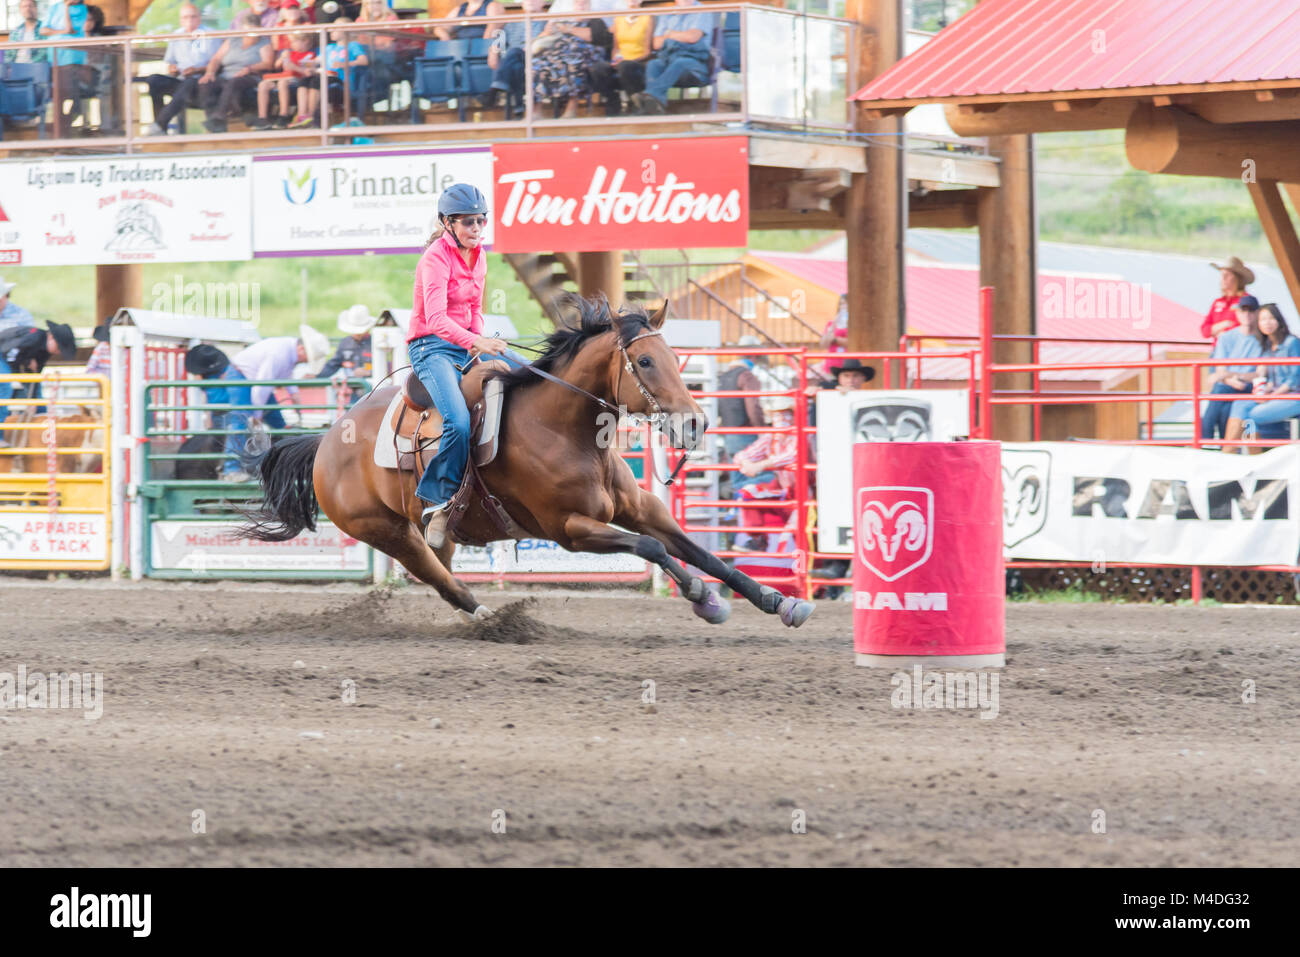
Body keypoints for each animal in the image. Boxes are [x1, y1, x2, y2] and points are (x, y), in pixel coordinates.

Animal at [239, 295, 815, 629]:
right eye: (647, 361)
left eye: (677, 359)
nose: (696, 425)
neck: (567, 433)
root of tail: (326, 441)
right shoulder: (570, 529)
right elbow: (654, 549)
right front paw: (701, 598)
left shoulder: (643, 510)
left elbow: (703, 553)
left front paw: (780, 603)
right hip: (385, 531)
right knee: (432, 576)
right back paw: (488, 617)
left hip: (430, 530)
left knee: (438, 561)